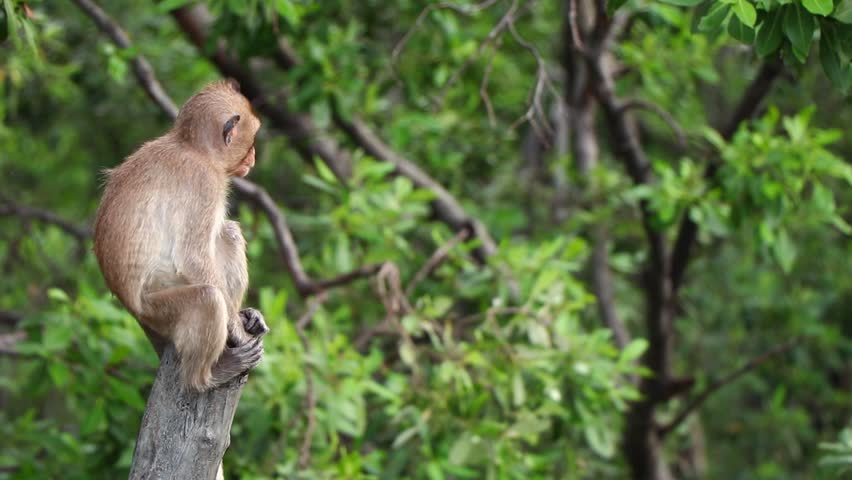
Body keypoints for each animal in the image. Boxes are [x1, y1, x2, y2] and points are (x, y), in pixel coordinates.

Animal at [93, 80, 269, 391]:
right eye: (250, 141)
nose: (253, 156)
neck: (194, 149)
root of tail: (132, 309)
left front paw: (243, 320)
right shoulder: (205, 183)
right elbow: (193, 259)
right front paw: (237, 331)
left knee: (229, 233)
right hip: (159, 309)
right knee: (208, 298)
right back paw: (204, 377)